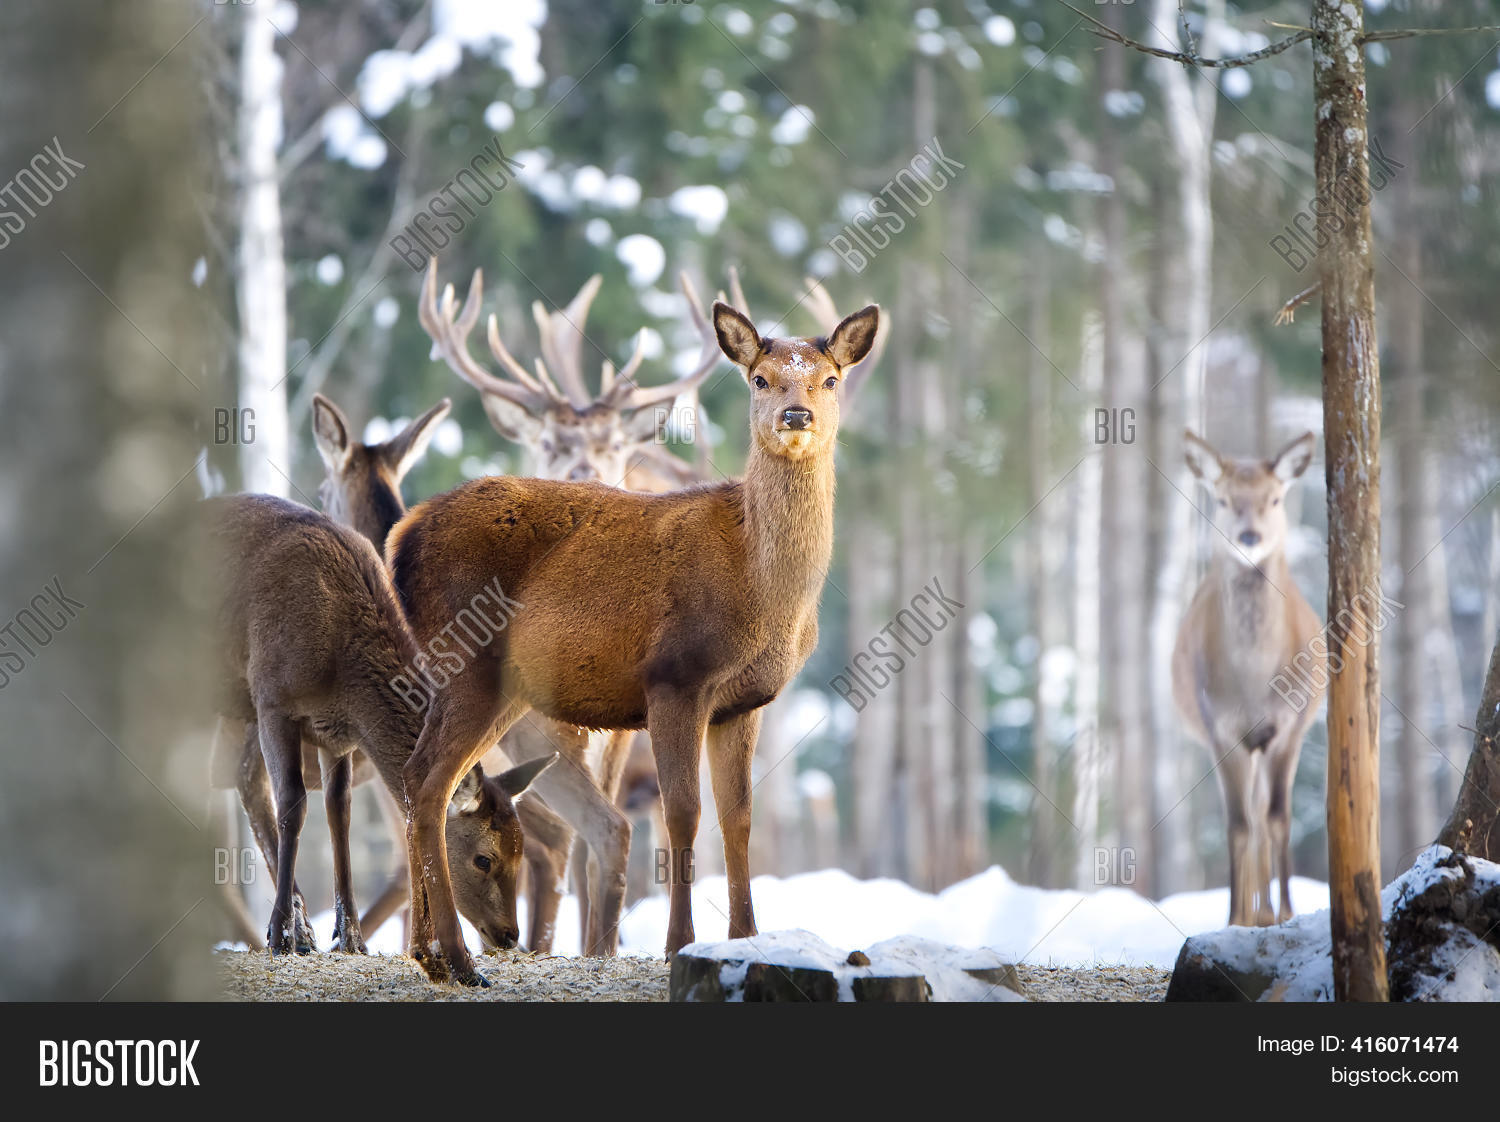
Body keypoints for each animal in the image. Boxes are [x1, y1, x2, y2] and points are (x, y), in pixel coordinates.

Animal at [215, 394, 578, 951]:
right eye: (484, 858)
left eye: (514, 852)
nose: (507, 934)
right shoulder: (273, 698)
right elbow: (292, 807)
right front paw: (285, 932)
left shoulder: (337, 735)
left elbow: (338, 814)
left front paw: (349, 936)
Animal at [385, 290, 879, 983]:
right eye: (759, 377)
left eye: (831, 378)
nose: (796, 413)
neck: (764, 589)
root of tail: (400, 535)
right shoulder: (675, 678)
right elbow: (684, 813)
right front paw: (678, 945)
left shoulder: (743, 702)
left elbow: (738, 818)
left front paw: (748, 940)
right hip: (468, 661)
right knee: (430, 784)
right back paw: (456, 958)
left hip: (501, 688)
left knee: (421, 779)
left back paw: (430, 955)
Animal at [1172, 429, 1324, 927]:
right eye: (1222, 499)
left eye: (1274, 498)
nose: (1249, 536)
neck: (1255, 683)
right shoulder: (1220, 727)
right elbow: (1238, 824)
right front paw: (1234, 919)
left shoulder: (1289, 726)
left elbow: (1277, 817)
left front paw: (1287, 912)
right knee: (1250, 816)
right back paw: (1254, 910)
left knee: (1262, 811)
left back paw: (1267, 910)